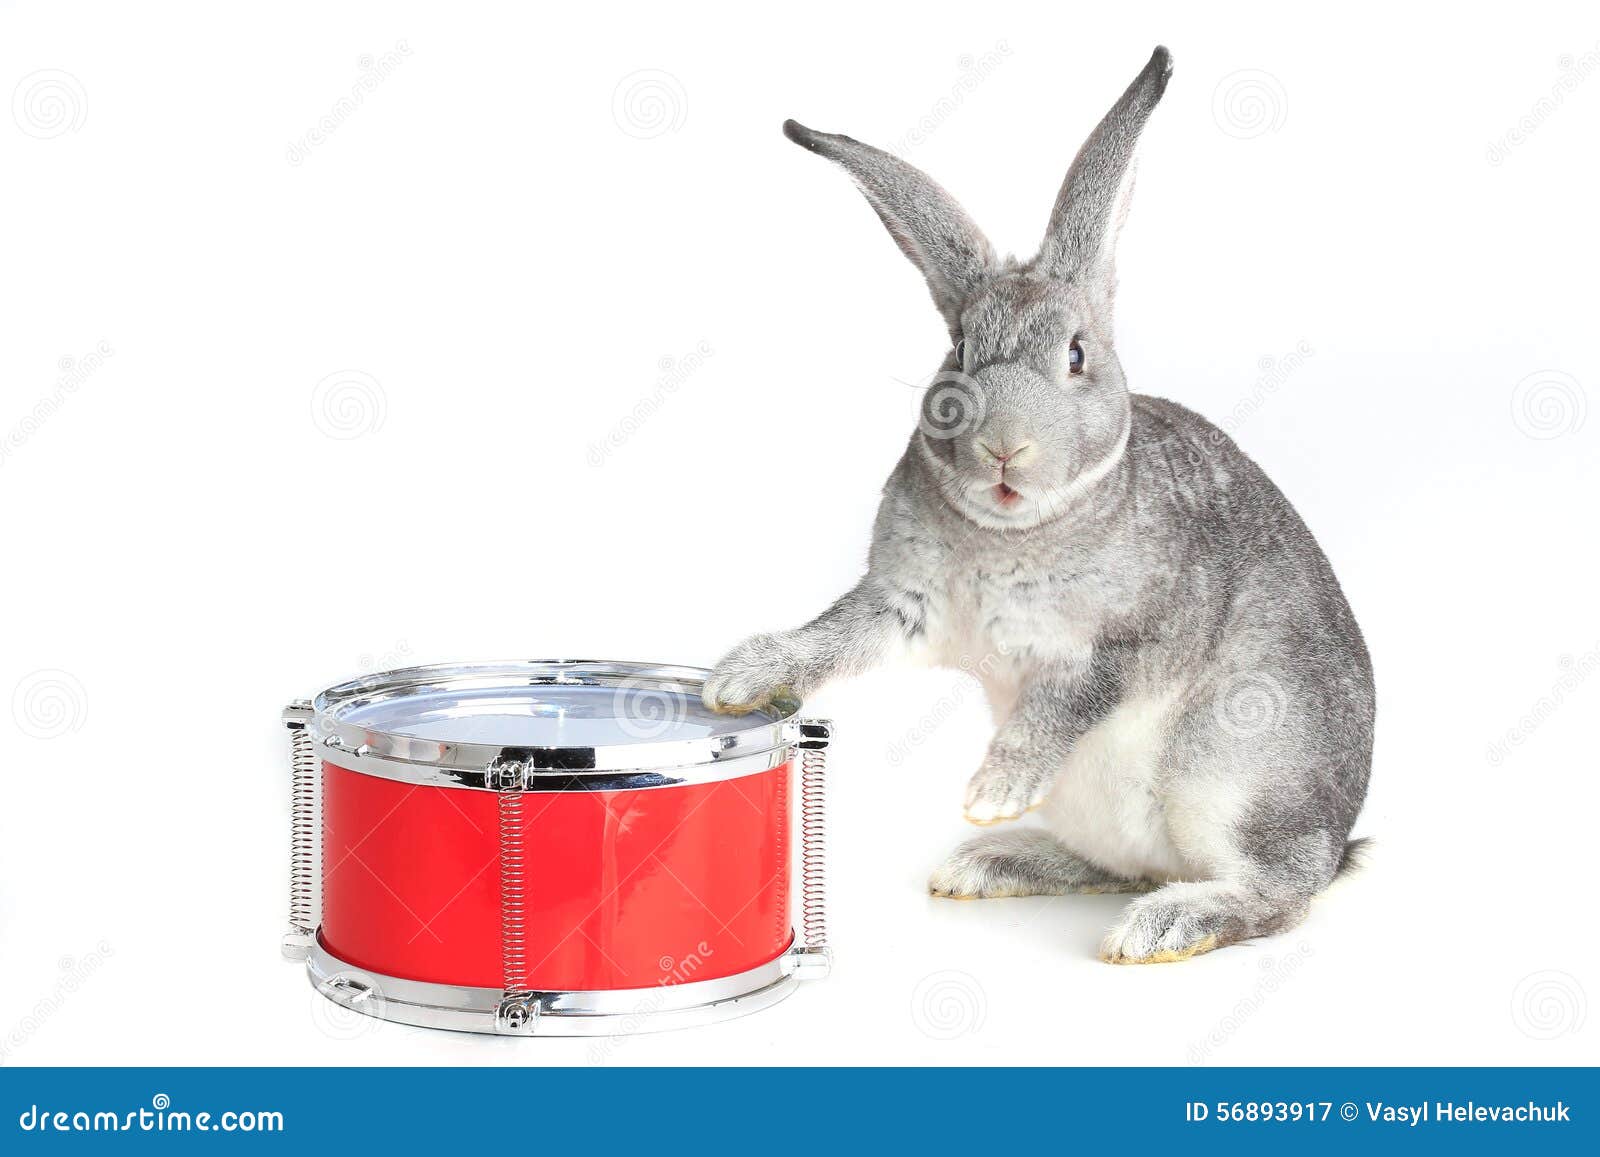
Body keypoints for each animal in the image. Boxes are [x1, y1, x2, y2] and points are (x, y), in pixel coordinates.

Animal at [702, 46, 1374, 964]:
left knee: (1276, 896)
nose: (1003, 447)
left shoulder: (1127, 641)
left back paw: (1164, 922)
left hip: (1237, 778)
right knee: (1121, 867)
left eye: (1078, 356)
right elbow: (830, 637)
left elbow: (1065, 700)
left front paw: (993, 788)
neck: (1014, 531)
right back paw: (993, 862)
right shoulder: (902, 603)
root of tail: (1337, 839)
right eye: (958, 350)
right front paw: (738, 677)